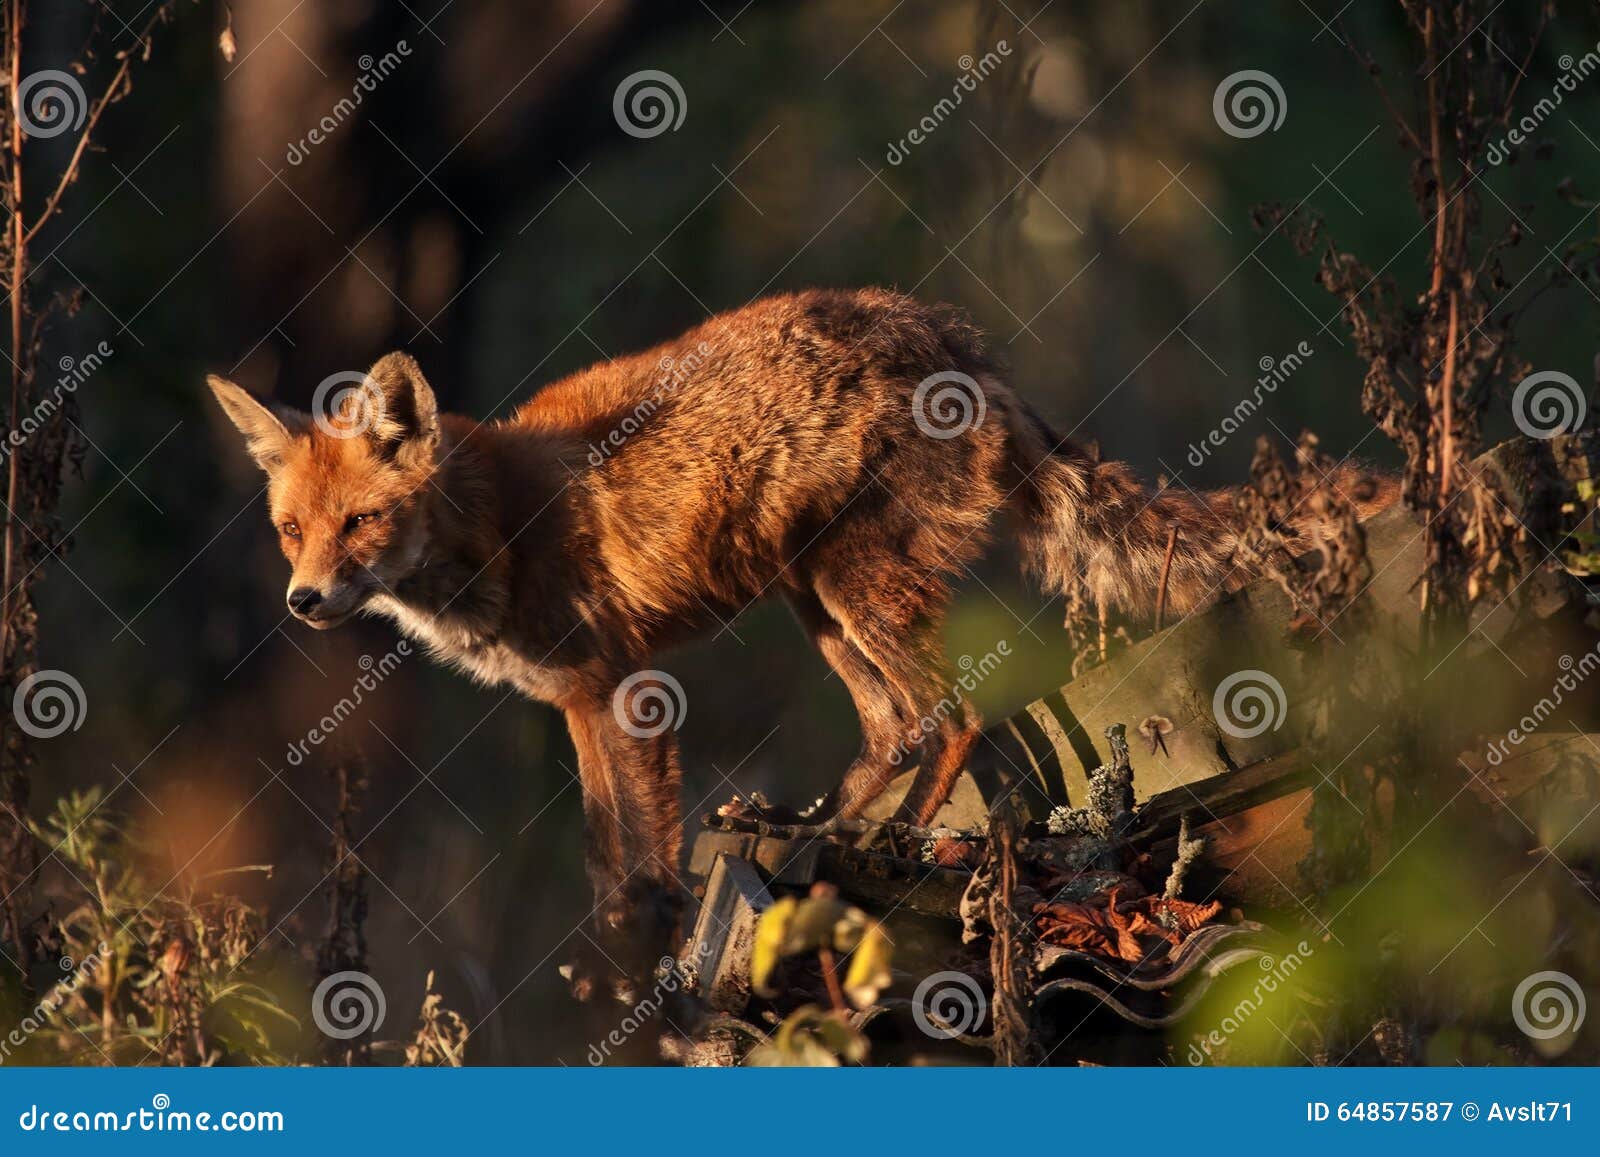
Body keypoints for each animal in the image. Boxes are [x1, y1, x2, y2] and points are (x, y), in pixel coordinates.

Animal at [208, 287, 1393, 990]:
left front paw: (642, 958)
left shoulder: (624, 688)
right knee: (896, 727)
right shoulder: (579, 700)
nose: (304, 602)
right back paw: (823, 829)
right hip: (817, 605)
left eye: (362, 522)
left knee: (952, 717)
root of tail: (948, 332)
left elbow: (635, 865)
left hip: (852, 590)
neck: (491, 525)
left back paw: (892, 845)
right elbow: (601, 854)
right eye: (292, 530)